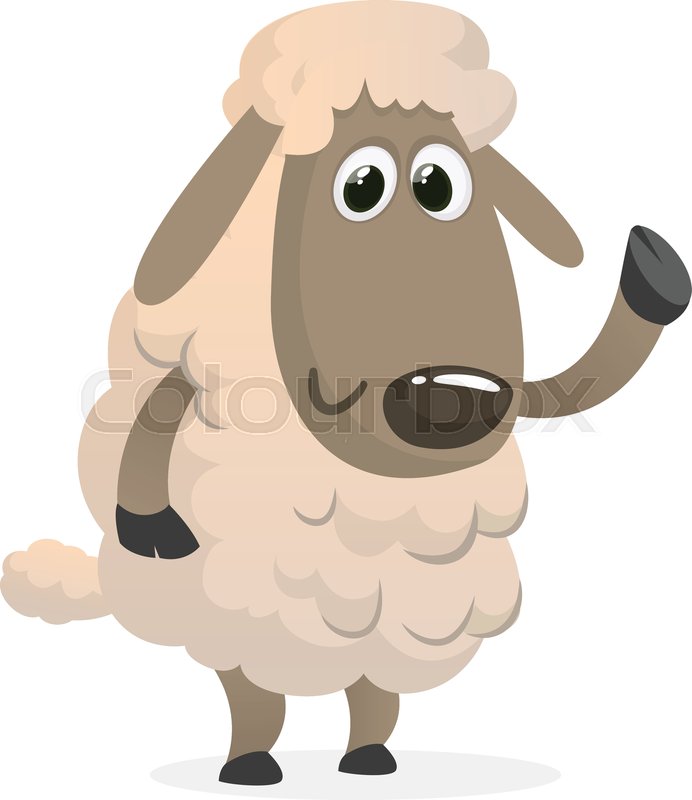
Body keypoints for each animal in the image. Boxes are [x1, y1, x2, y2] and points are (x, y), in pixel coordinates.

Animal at [2, 0, 690, 787]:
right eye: (362, 186)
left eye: (439, 185)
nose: (657, 270)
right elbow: (163, 411)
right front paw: (154, 528)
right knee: (254, 694)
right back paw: (251, 765)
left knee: (370, 690)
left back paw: (368, 759)